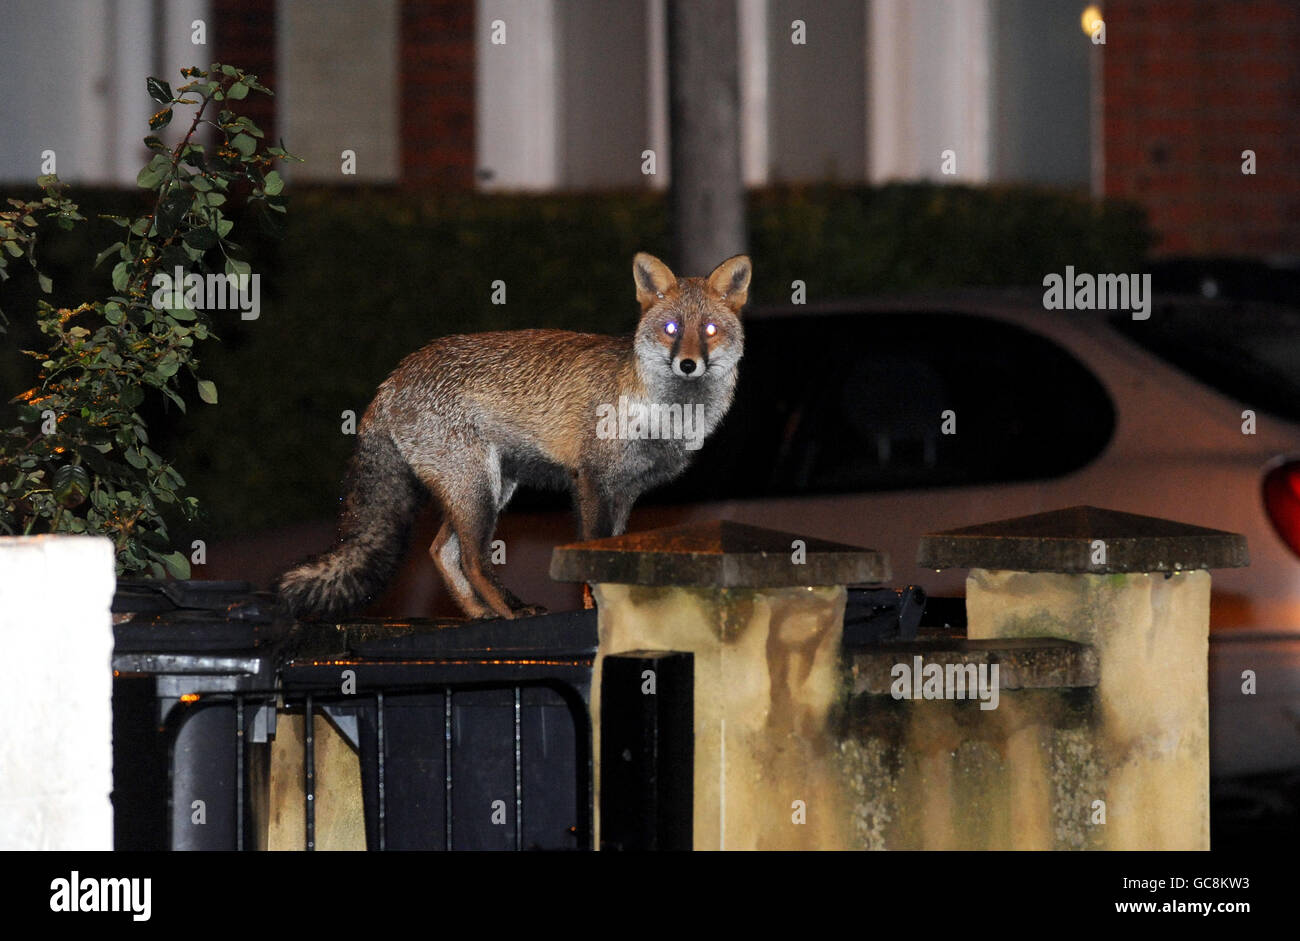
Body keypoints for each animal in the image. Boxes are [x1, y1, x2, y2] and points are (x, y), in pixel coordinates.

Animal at [277, 251, 751, 621]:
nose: (688, 364)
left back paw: (478, 614)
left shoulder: (627, 489)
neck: (665, 413)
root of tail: (393, 377)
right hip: (477, 488)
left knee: (440, 551)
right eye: (671, 329)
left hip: (491, 487)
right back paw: (510, 609)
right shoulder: (592, 479)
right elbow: (590, 553)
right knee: (472, 558)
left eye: (709, 330)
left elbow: (610, 554)